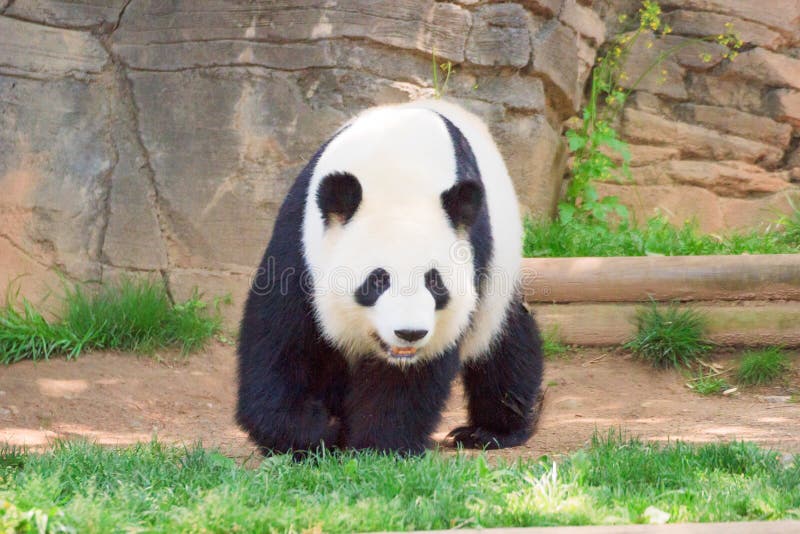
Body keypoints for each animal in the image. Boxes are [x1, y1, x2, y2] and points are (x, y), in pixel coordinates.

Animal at [237, 99, 543, 455]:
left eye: (434, 282)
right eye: (378, 280)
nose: (409, 333)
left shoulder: (469, 255)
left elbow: (409, 379)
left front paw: (379, 446)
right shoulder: (301, 243)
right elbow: (279, 345)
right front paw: (316, 431)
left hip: (499, 276)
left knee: (503, 346)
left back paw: (490, 430)